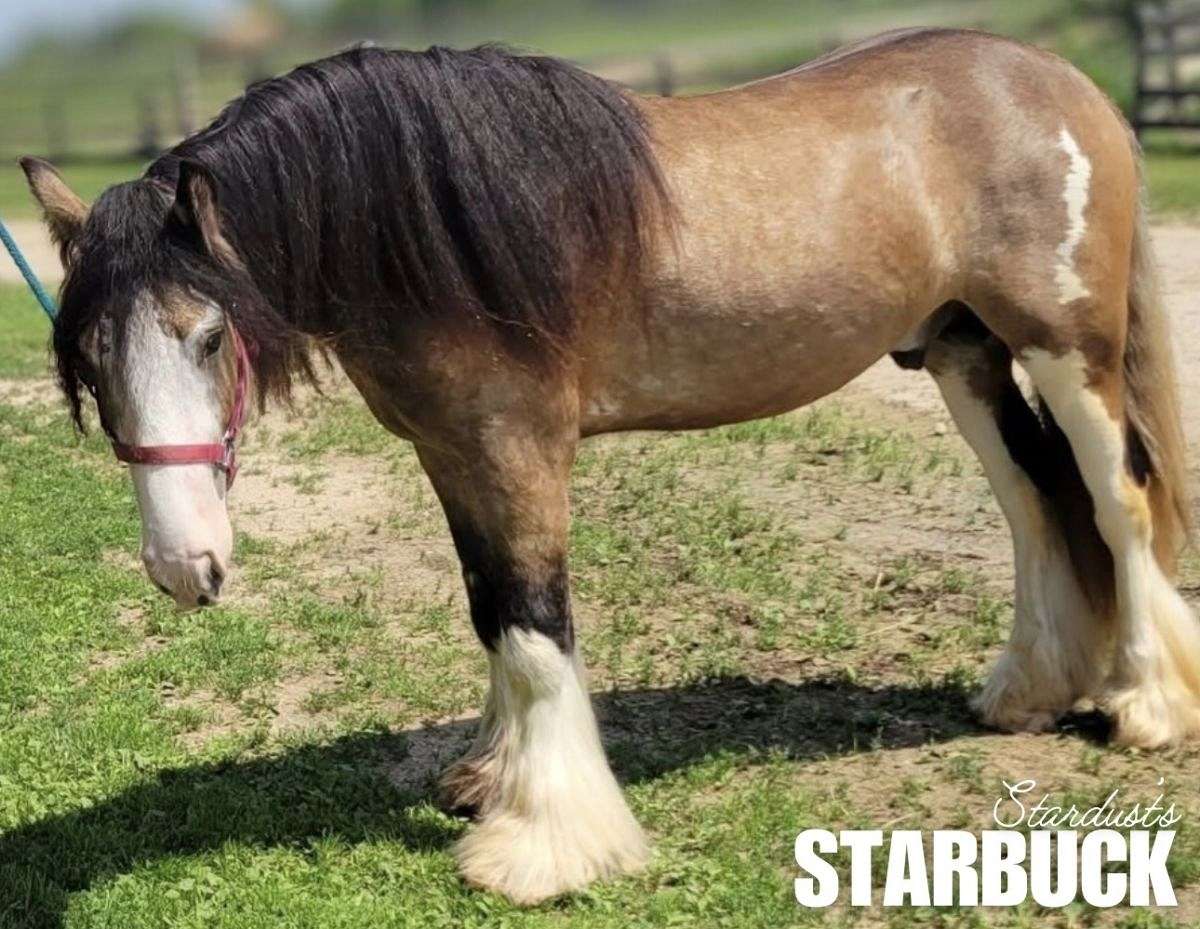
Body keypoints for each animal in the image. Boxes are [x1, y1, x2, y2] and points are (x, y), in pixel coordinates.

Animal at [22, 28, 1200, 903]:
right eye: (88, 359)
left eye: (211, 336)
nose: (182, 568)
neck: (430, 233)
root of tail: (1055, 78)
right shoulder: (455, 452)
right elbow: (491, 609)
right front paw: (493, 780)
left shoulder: (516, 448)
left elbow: (536, 625)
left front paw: (544, 843)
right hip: (961, 350)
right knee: (1034, 502)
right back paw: (1027, 691)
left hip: (1070, 350)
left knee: (1118, 501)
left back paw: (1146, 704)